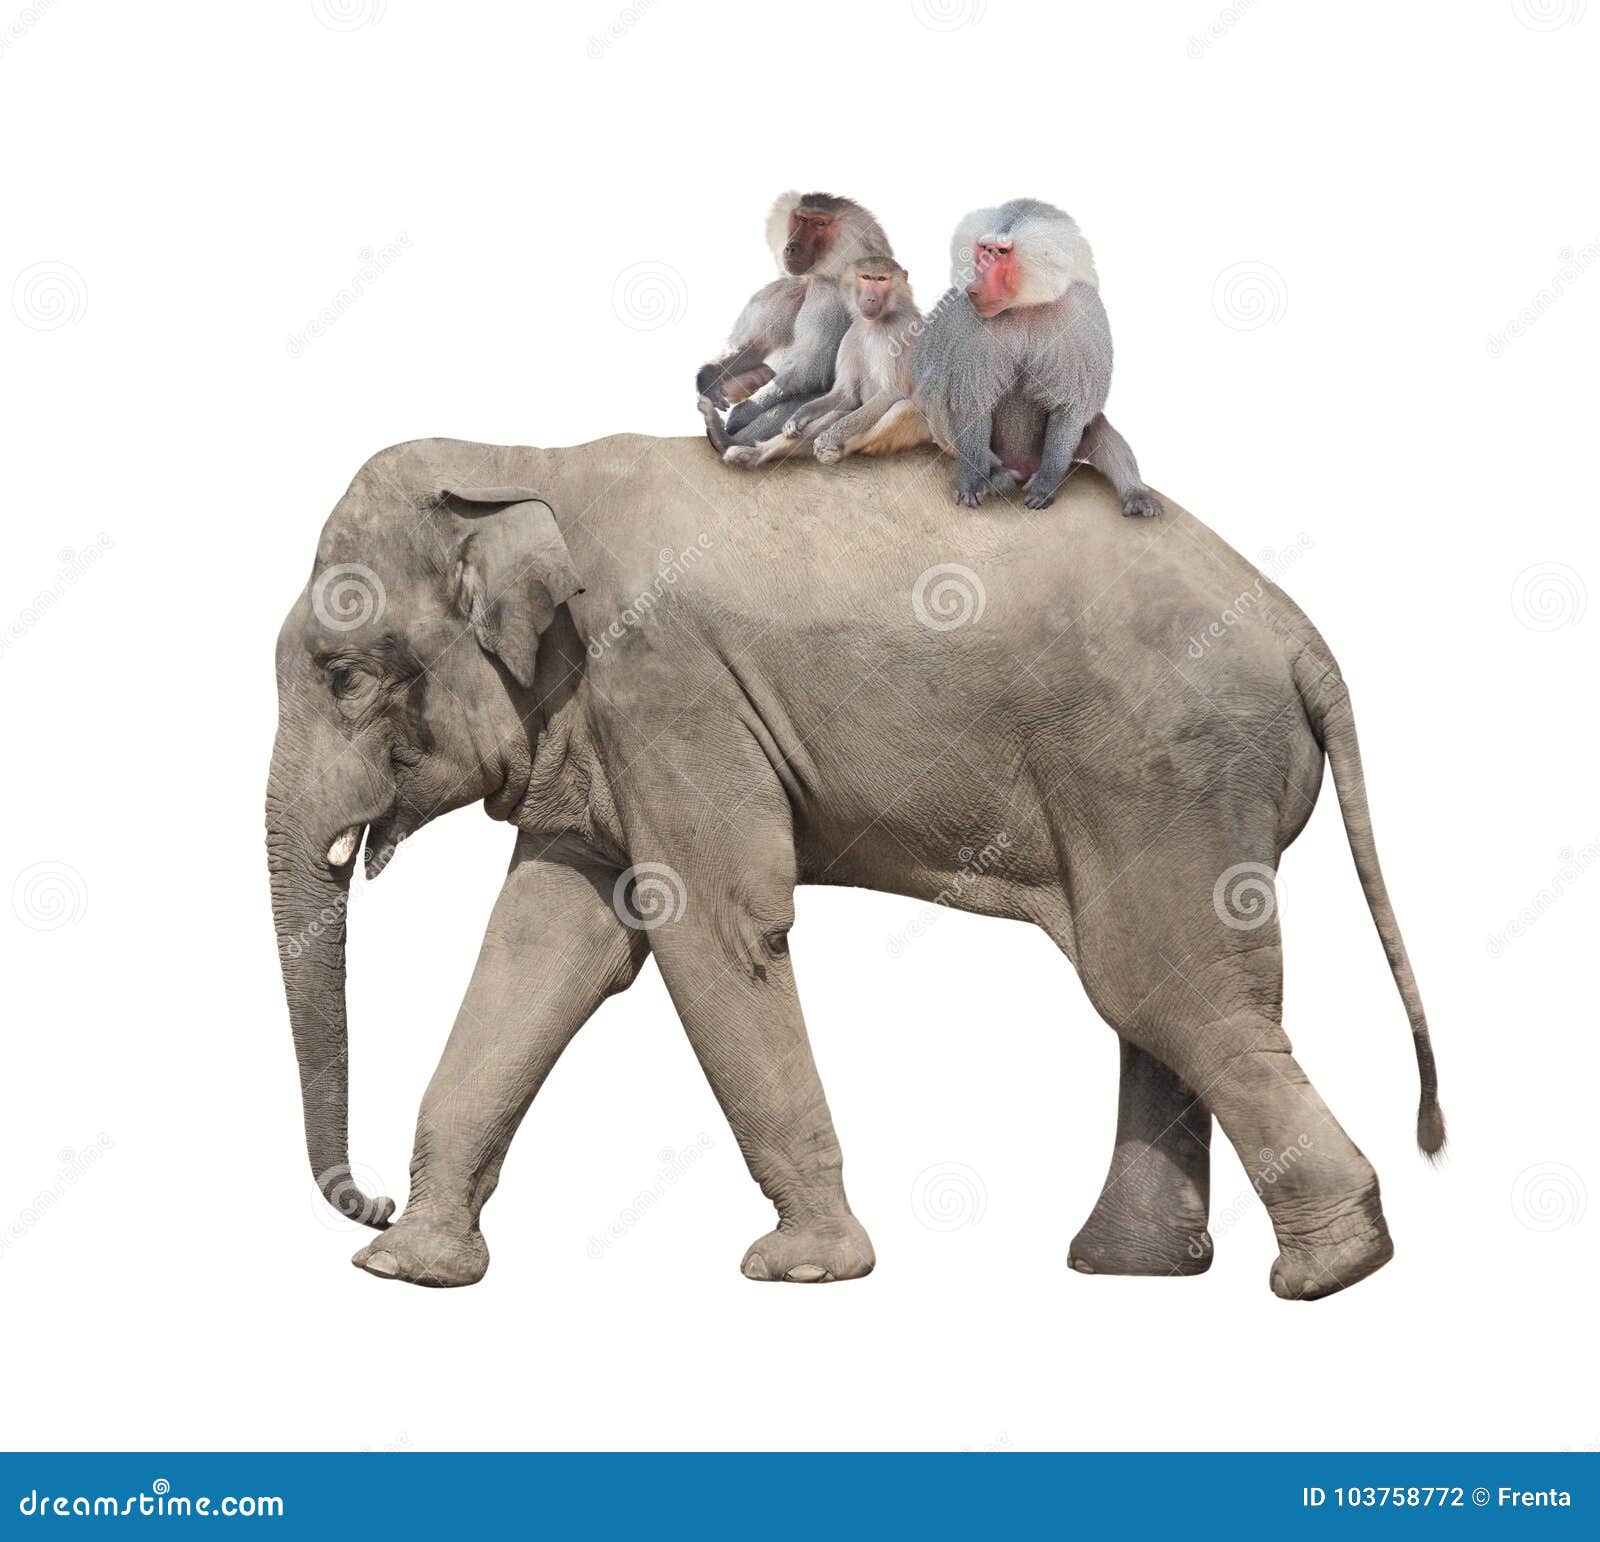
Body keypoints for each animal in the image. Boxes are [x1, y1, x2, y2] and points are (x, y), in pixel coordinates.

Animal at [265, 434, 1443, 1299]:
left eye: (343, 676)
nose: (365, 1198)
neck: (519, 459)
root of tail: (1304, 641)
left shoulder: (668, 690)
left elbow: (710, 926)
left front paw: (804, 1271)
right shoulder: (593, 730)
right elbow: (550, 940)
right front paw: (406, 1268)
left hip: (1162, 773)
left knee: (1162, 987)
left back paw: (1333, 1270)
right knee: (1166, 997)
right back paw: (1134, 1270)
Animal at [697, 192, 895, 451]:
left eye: (819, 224)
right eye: (801, 219)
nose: (791, 247)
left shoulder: (828, 299)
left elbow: (808, 368)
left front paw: (741, 414)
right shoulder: (788, 291)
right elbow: (756, 348)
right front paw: (708, 377)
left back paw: (727, 440)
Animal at [713, 256, 934, 469]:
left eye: (882, 279)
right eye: (866, 277)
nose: (871, 299)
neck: (876, 323)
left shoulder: (900, 330)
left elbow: (892, 392)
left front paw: (827, 439)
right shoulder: (852, 334)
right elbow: (845, 395)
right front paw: (797, 418)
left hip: (918, 432)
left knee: (901, 409)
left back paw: (835, 451)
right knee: (833, 414)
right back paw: (744, 451)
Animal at [911, 198, 1163, 517]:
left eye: (1002, 253)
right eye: (984, 250)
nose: (973, 287)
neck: (1025, 306)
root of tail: (1022, 467)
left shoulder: (1083, 314)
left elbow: (1070, 407)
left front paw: (1045, 487)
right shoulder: (966, 324)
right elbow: (970, 405)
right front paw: (971, 482)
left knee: (1099, 430)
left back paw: (1136, 494)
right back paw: (996, 475)